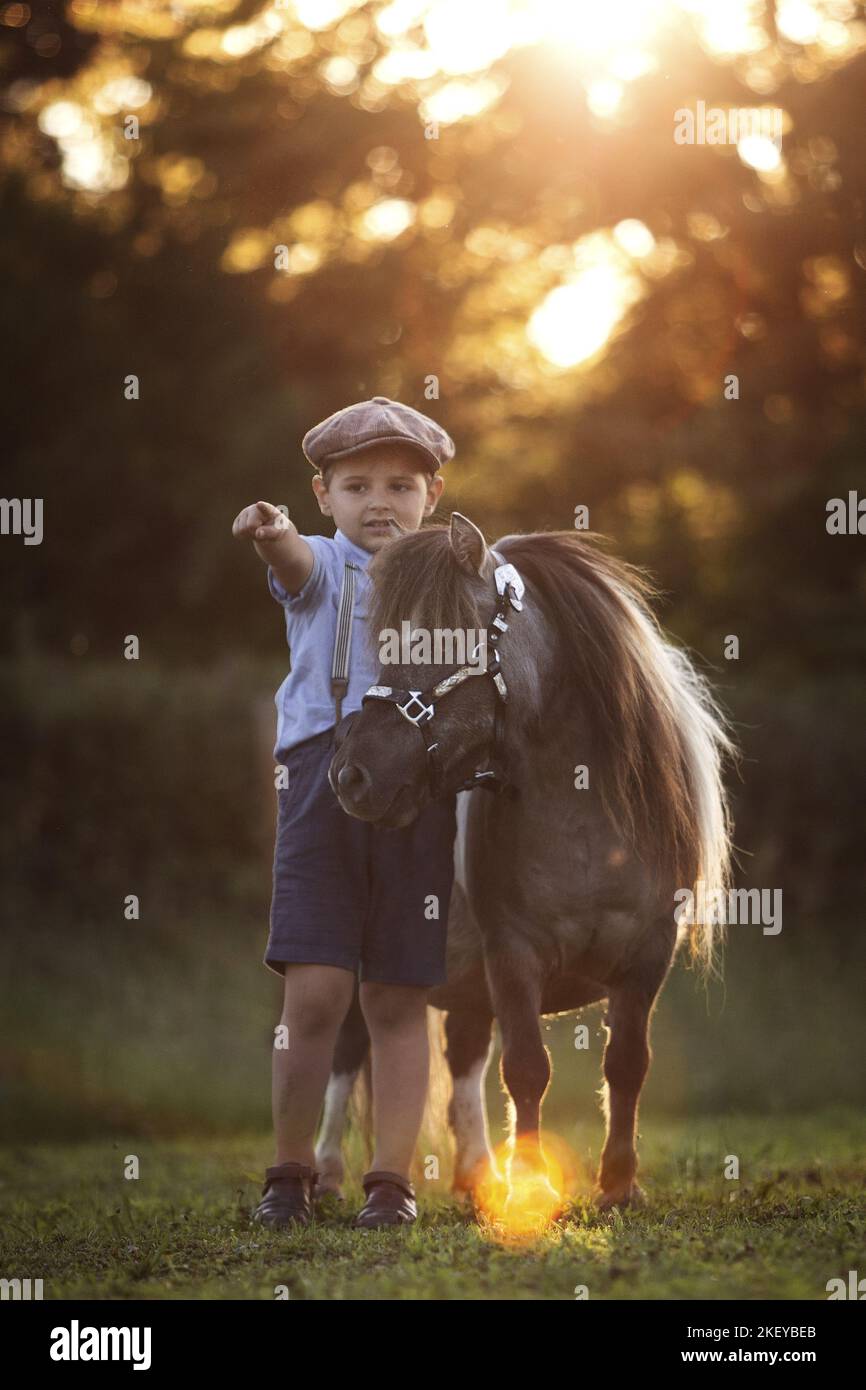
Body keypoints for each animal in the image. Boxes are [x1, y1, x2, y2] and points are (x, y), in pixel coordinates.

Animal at [319, 512, 734, 1221]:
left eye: (440, 638)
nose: (353, 773)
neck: (586, 827)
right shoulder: (513, 953)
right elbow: (527, 1069)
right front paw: (532, 1187)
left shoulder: (648, 953)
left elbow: (627, 1062)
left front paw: (618, 1185)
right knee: (345, 1050)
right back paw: (322, 1172)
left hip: (464, 981)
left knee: (462, 1055)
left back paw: (475, 1174)